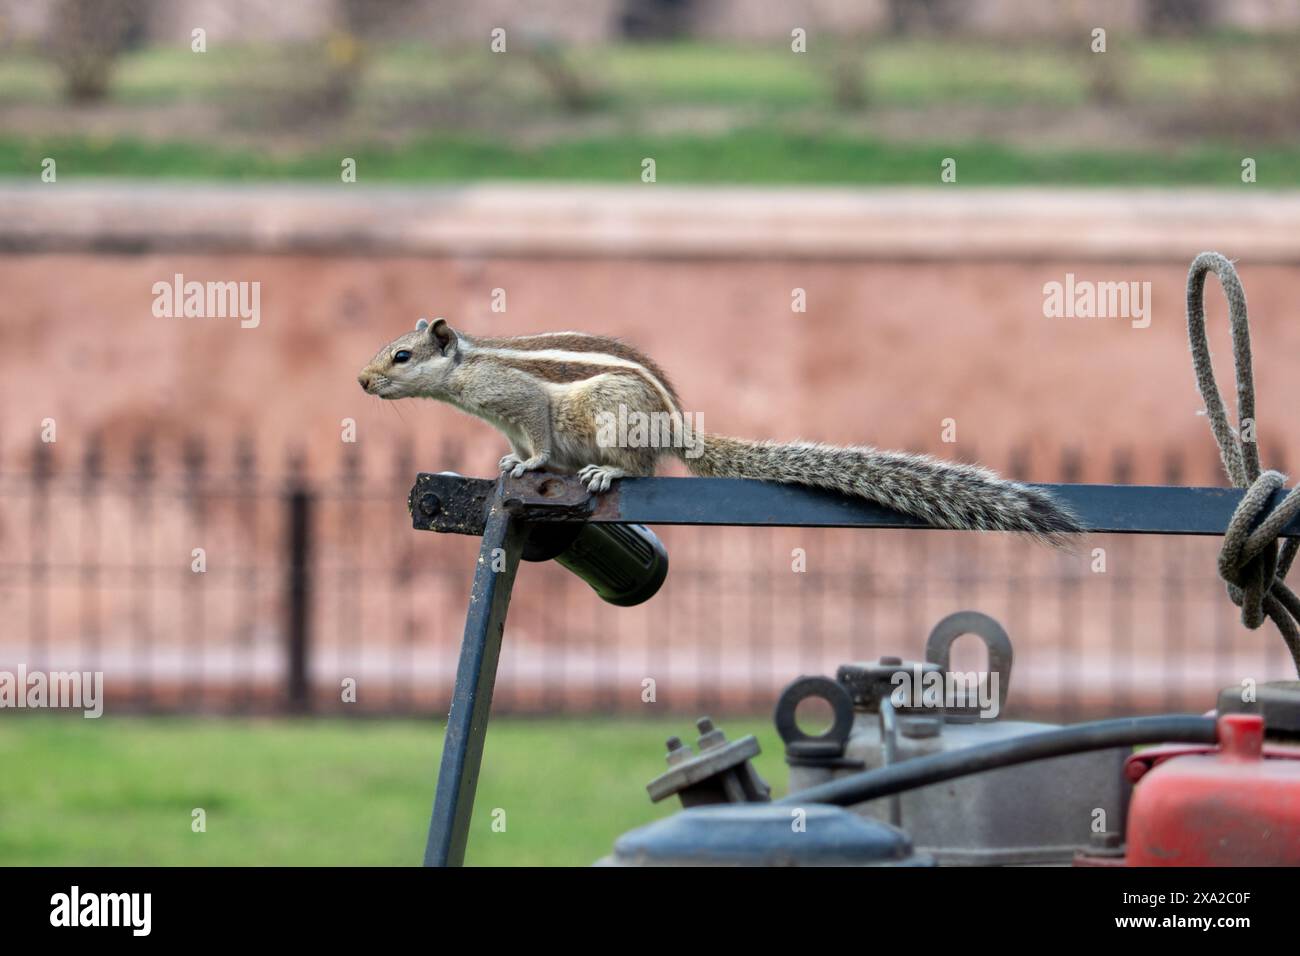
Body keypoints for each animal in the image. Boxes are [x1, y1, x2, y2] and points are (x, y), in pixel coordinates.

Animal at [358, 318, 1081, 547]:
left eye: (402, 356)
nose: (362, 380)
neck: (469, 368)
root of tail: (679, 431)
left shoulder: (522, 403)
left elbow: (536, 436)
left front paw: (528, 466)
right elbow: (515, 448)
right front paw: (507, 465)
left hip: (615, 417)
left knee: (641, 469)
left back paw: (606, 470)